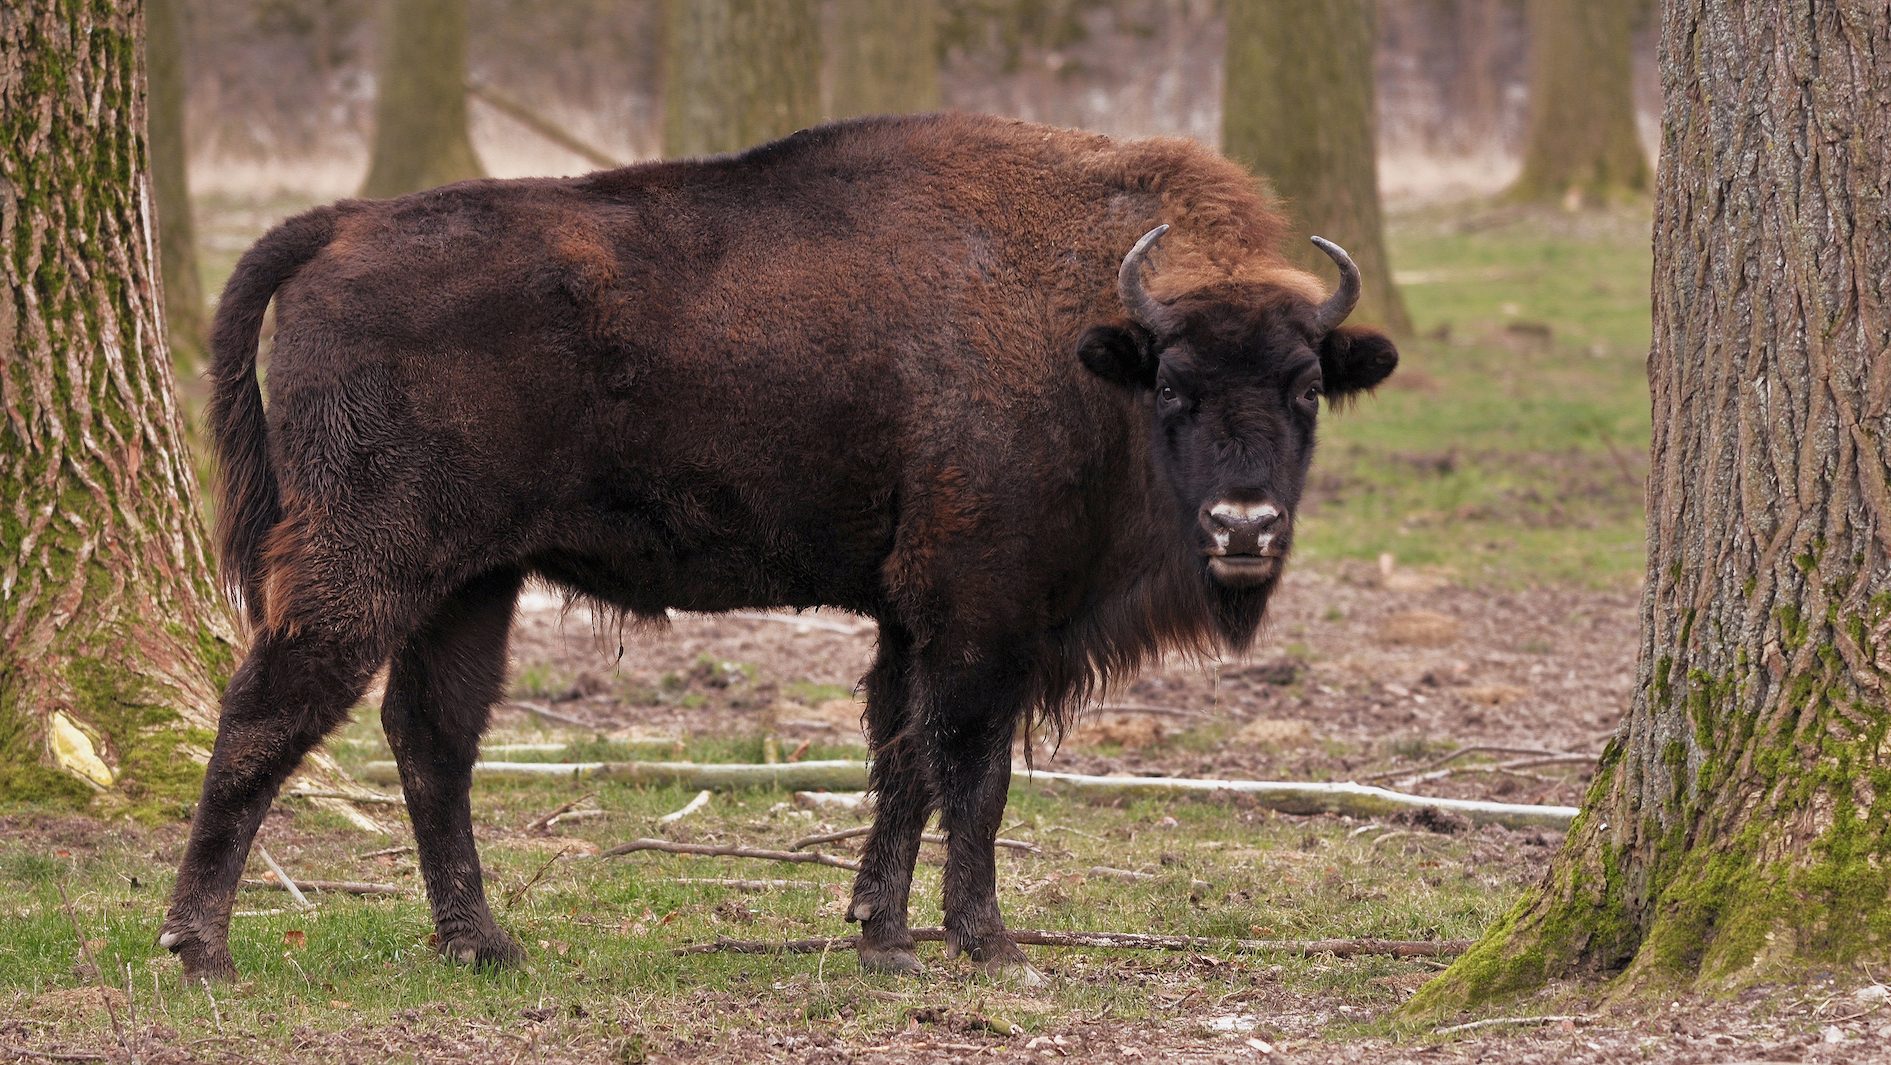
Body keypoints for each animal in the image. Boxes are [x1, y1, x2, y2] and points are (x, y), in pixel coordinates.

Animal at [160, 112, 1397, 982]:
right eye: (1175, 388)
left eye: (1304, 389)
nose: (1244, 527)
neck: (1092, 341)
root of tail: (344, 223)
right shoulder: (979, 613)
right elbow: (974, 772)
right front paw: (990, 945)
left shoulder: (910, 618)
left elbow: (903, 765)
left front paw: (882, 939)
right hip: (368, 560)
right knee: (269, 709)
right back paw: (200, 946)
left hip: (474, 582)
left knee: (432, 739)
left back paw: (484, 943)